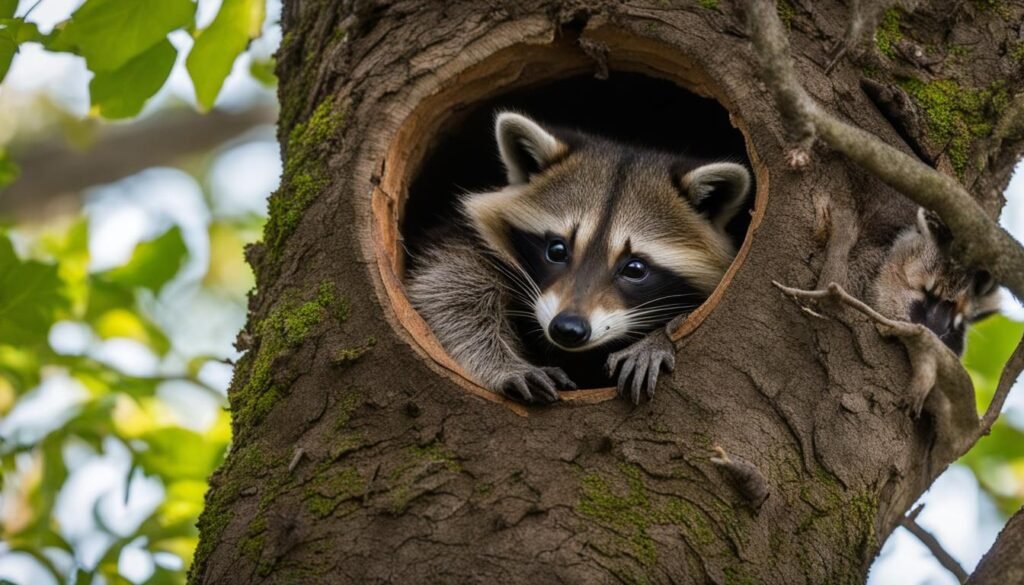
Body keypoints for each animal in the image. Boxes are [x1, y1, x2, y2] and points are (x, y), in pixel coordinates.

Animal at [407, 112, 751, 404]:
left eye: (635, 268)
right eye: (557, 250)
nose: (568, 329)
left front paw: (657, 338)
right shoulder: (459, 241)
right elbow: (448, 287)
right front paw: (503, 363)